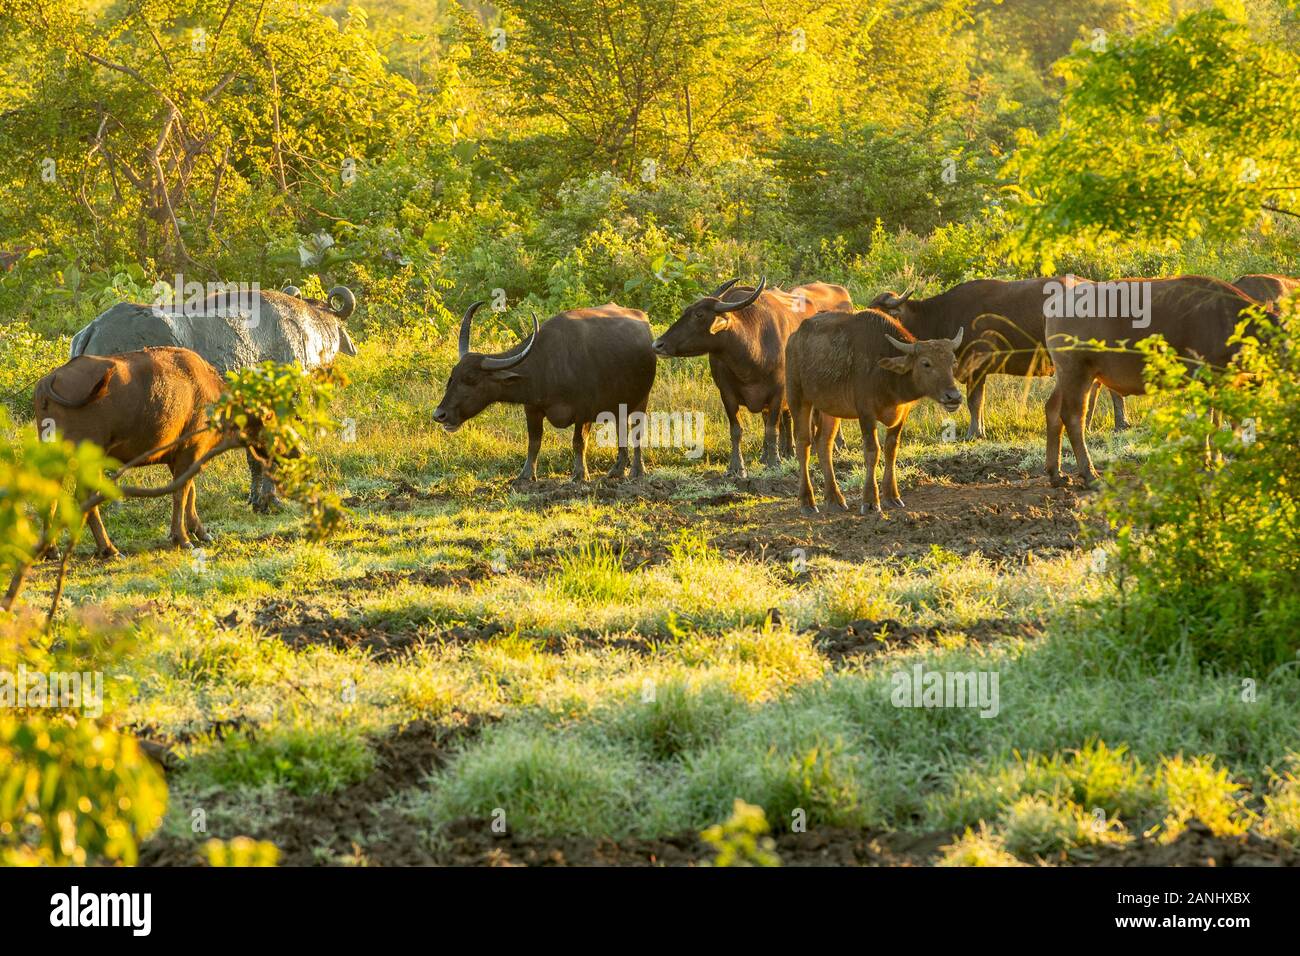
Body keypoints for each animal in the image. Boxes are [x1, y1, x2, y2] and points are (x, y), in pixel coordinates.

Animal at [33, 347, 227, 557]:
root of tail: (48, 381)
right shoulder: (190, 451)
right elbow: (181, 493)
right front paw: (183, 539)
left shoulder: (177, 459)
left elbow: (190, 492)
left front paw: (200, 532)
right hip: (91, 459)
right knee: (87, 497)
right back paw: (110, 549)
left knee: (51, 494)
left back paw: (52, 550)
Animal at [433, 301, 656, 482]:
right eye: (452, 376)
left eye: (471, 378)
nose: (439, 415)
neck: (550, 365)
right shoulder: (532, 409)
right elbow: (534, 442)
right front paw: (526, 475)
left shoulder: (583, 412)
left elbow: (578, 442)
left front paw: (580, 474)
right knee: (621, 429)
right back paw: (617, 470)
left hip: (641, 400)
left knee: (636, 431)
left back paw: (637, 471)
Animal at [652, 277, 854, 477]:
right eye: (686, 311)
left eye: (699, 315)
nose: (658, 344)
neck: (751, 355)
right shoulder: (727, 393)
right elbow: (737, 430)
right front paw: (737, 467)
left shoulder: (777, 392)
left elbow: (772, 429)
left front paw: (774, 463)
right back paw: (784, 452)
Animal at [786, 309, 977, 514]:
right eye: (926, 363)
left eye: (952, 362)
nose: (953, 397)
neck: (887, 376)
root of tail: (794, 338)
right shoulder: (866, 413)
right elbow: (872, 451)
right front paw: (870, 501)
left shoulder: (902, 414)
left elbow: (891, 449)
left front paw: (892, 496)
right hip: (797, 398)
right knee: (803, 444)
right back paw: (807, 502)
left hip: (829, 409)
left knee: (824, 444)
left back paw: (835, 499)